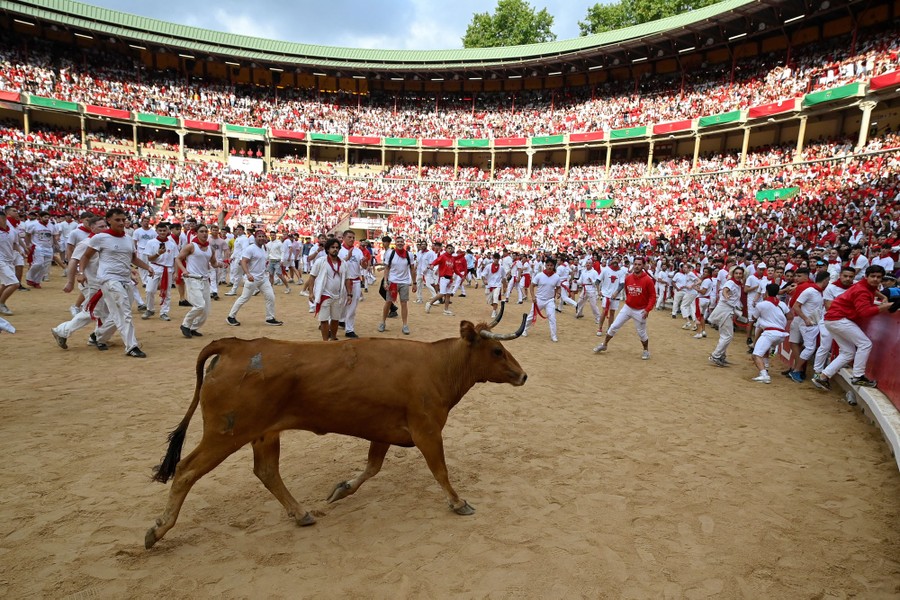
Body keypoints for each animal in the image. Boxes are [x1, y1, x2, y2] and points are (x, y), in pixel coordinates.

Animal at [145, 304, 527, 549]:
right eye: (496, 351)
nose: (523, 375)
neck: (437, 366)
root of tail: (235, 346)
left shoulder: (383, 432)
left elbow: (372, 468)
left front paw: (341, 489)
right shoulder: (427, 431)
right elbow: (441, 471)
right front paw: (459, 502)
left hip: (263, 433)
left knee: (266, 471)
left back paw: (301, 514)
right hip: (225, 433)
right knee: (186, 471)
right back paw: (159, 529)